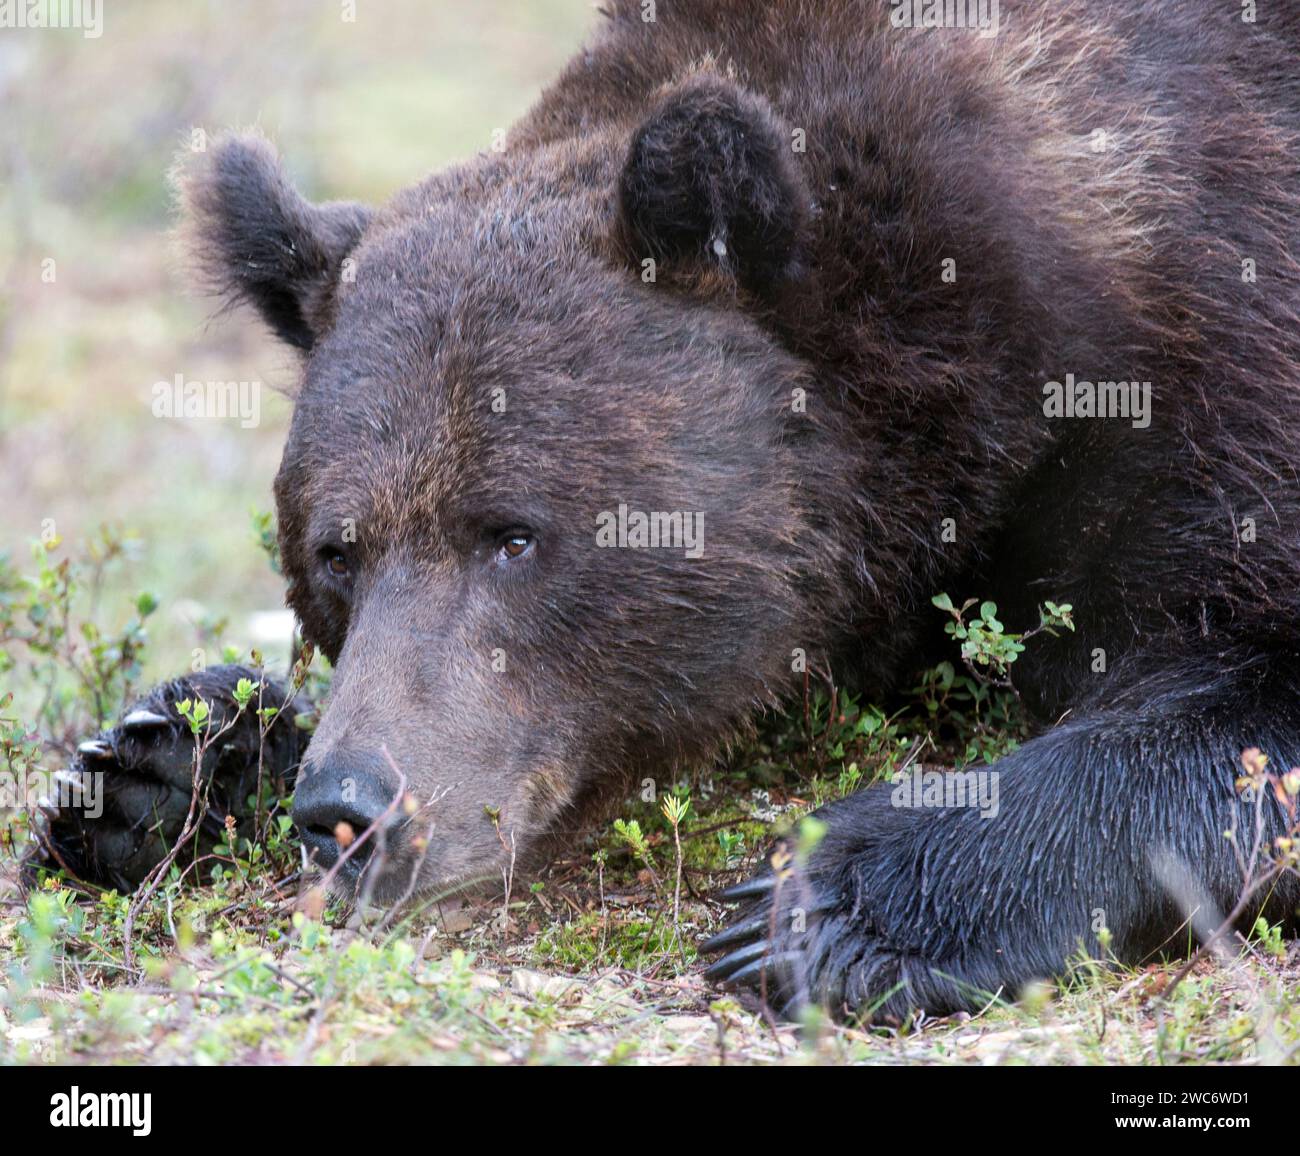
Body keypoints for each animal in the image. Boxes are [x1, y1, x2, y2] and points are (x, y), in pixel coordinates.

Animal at [44, 0, 1300, 1023]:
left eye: (512, 534)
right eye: (337, 549)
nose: (348, 811)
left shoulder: (1209, 352)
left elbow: (1237, 695)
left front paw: (818, 902)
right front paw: (154, 763)